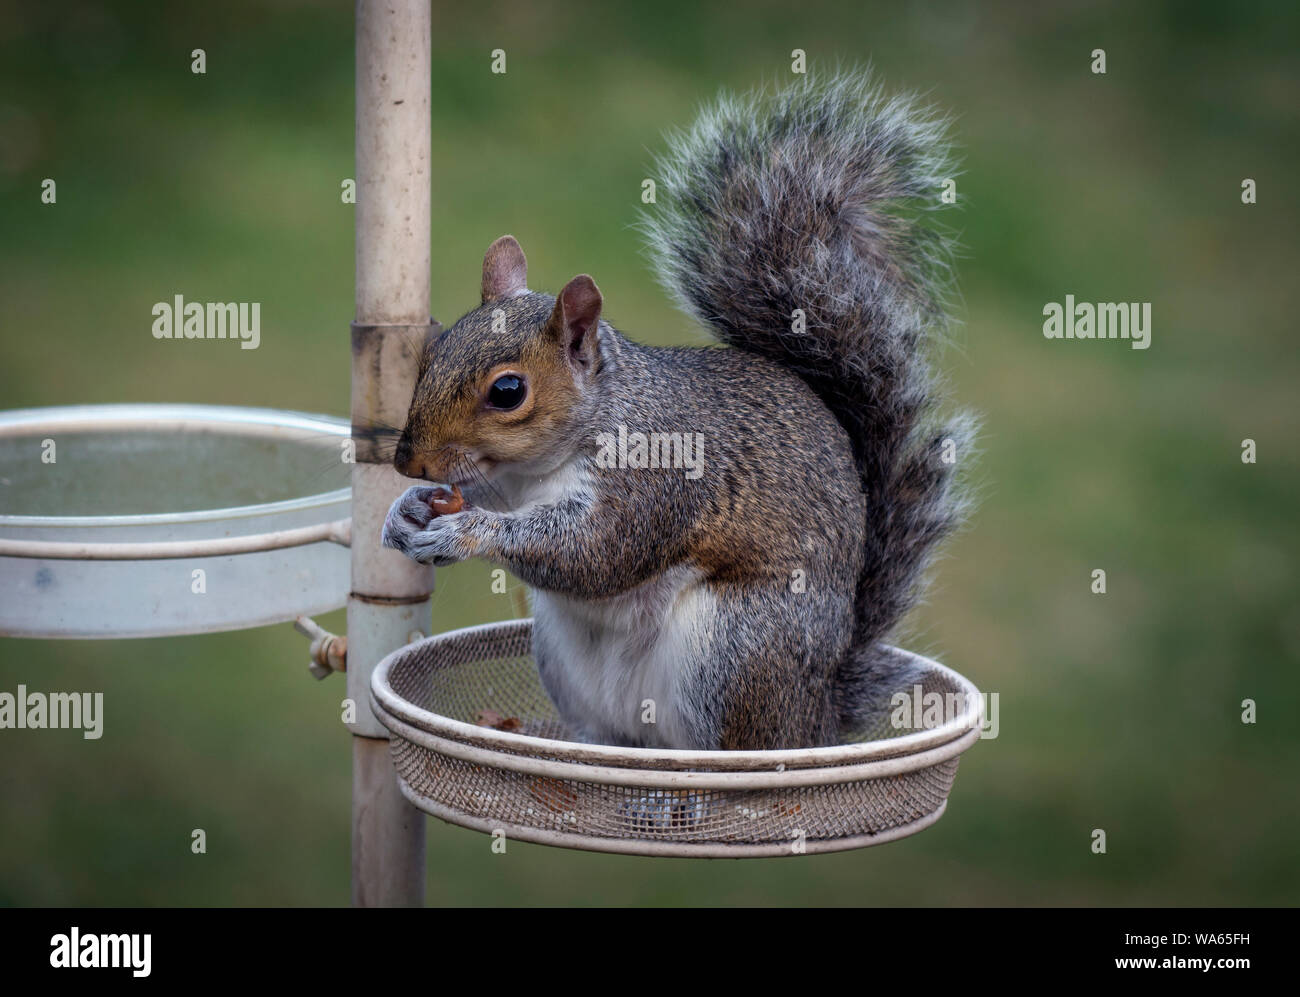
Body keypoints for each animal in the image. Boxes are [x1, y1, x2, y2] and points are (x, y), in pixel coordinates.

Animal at [381, 71, 973, 751]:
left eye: (508, 392)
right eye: (432, 350)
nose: (407, 462)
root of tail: (817, 717)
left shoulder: (655, 480)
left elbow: (595, 553)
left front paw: (466, 532)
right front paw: (407, 512)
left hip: (735, 651)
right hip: (569, 660)